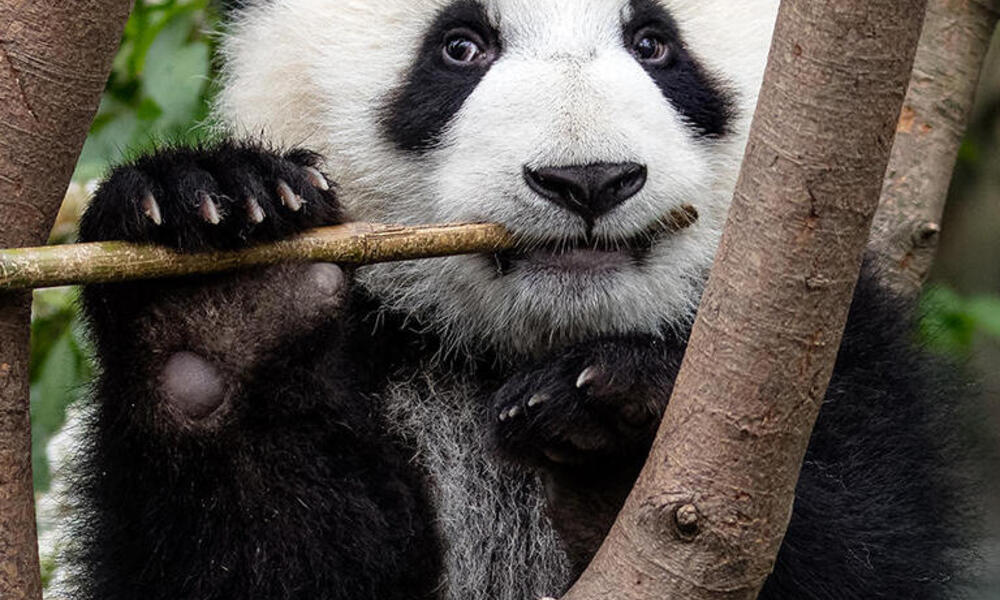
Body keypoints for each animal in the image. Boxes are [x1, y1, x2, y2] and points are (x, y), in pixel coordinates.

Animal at [59, 0, 975, 599]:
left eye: (654, 43)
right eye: (461, 46)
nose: (590, 179)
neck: (519, 343)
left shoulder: (830, 359)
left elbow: (857, 548)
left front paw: (611, 417)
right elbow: (260, 561)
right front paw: (228, 294)